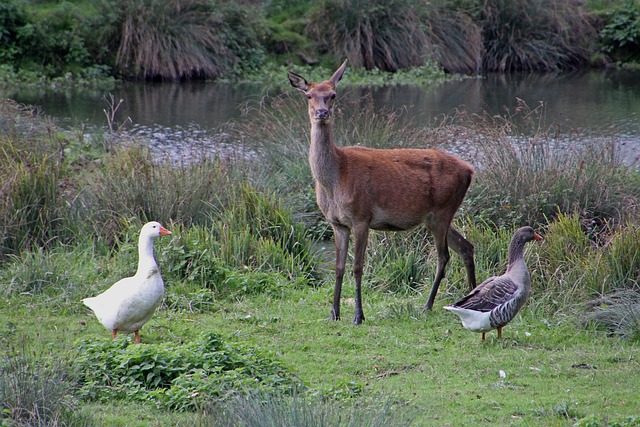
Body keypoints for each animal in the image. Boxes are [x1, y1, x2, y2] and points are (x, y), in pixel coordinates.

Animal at [288, 60, 476, 325]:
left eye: (333, 95)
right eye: (309, 95)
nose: (322, 113)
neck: (334, 181)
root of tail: (470, 170)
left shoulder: (361, 217)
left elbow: (357, 267)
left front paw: (358, 316)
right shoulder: (337, 223)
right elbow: (338, 268)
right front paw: (334, 313)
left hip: (443, 209)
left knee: (444, 256)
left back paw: (427, 305)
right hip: (436, 216)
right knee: (466, 247)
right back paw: (472, 296)